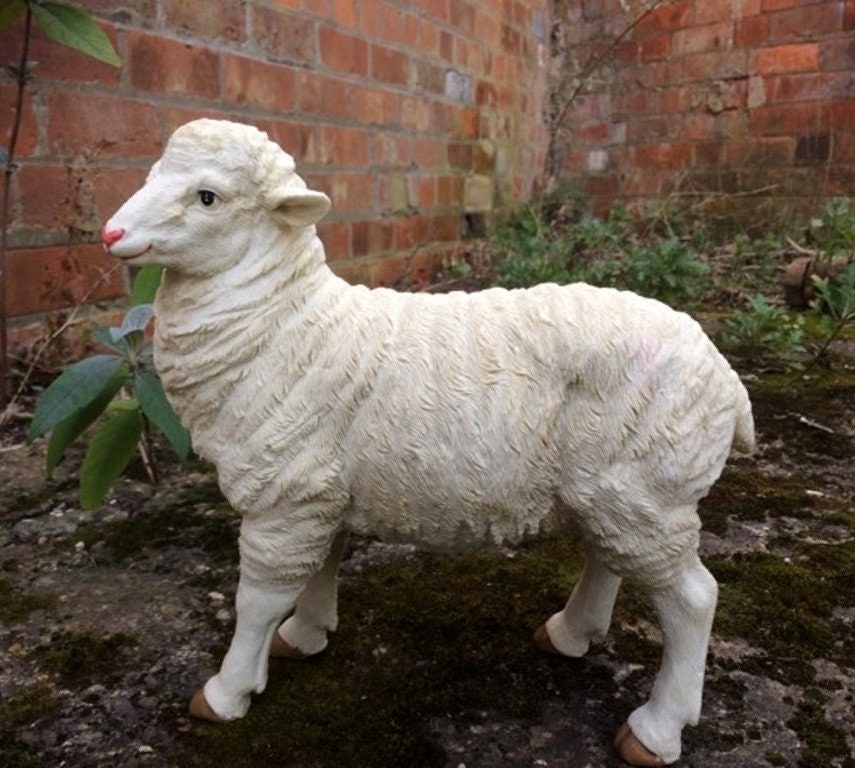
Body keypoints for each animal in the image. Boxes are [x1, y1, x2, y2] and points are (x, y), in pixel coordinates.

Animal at [102, 118, 755, 767]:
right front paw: (305, 634)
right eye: (152, 173)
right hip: (616, 485)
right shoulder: (318, 493)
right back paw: (570, 632)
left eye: (208, 197)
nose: (112, 233)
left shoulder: (285, 494)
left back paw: (657, 729)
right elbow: (322, 567)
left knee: (694, 599)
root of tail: (726, 376)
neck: (287, 323)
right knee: (610, 558)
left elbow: (258, 599)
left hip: (648, 486)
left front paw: (226, 691)